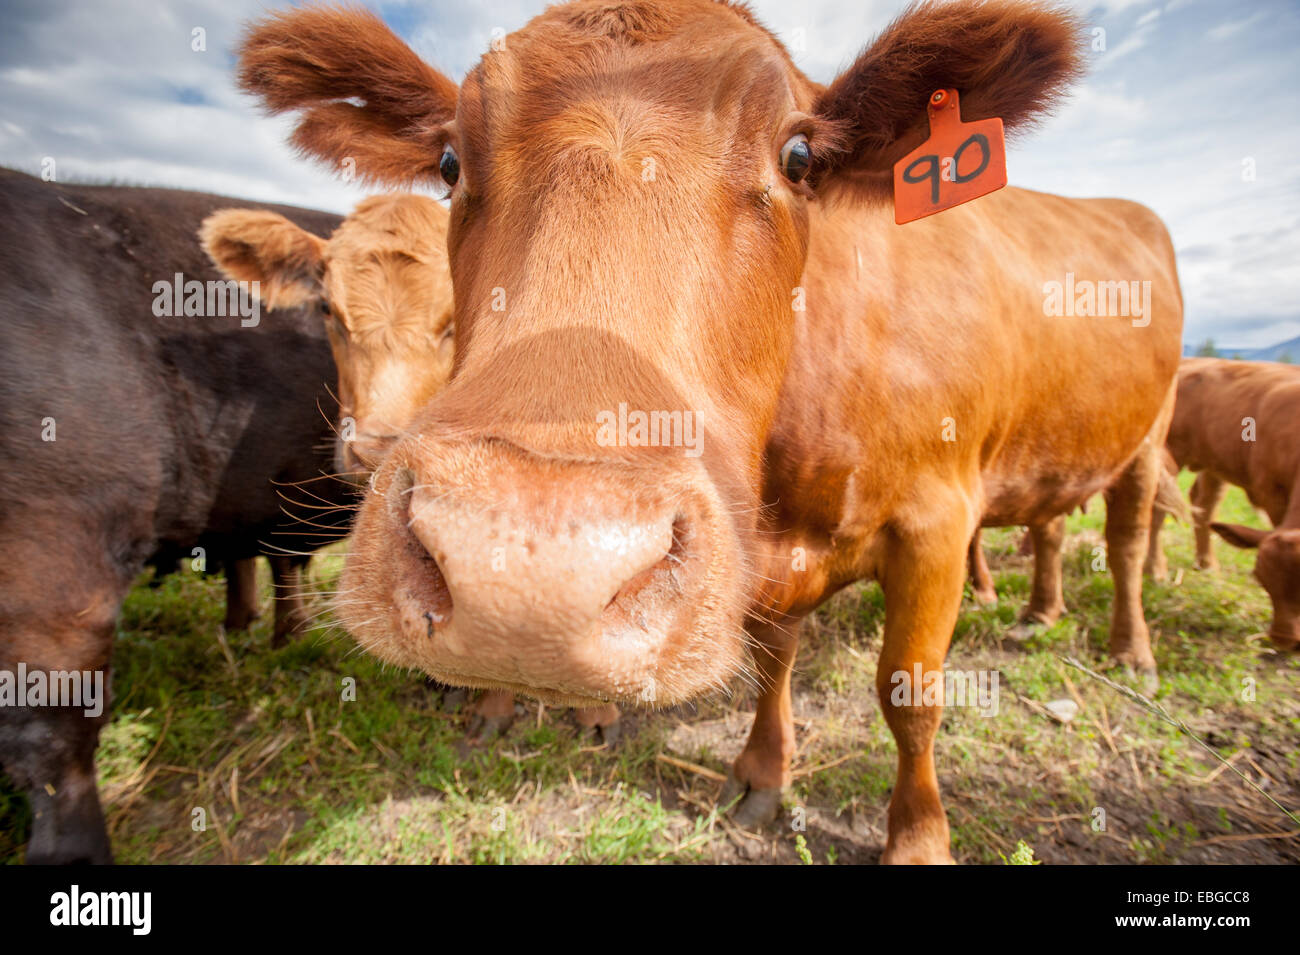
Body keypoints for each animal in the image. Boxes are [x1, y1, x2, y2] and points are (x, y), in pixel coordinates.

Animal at [1147, 358, 1300, 651]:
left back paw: (1206, 565)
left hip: (1214, 464)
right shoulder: (1271, 493)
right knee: (1158, 512)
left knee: (1204, 505)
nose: (1283, 641)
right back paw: (1156, 571)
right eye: (1260, 579)